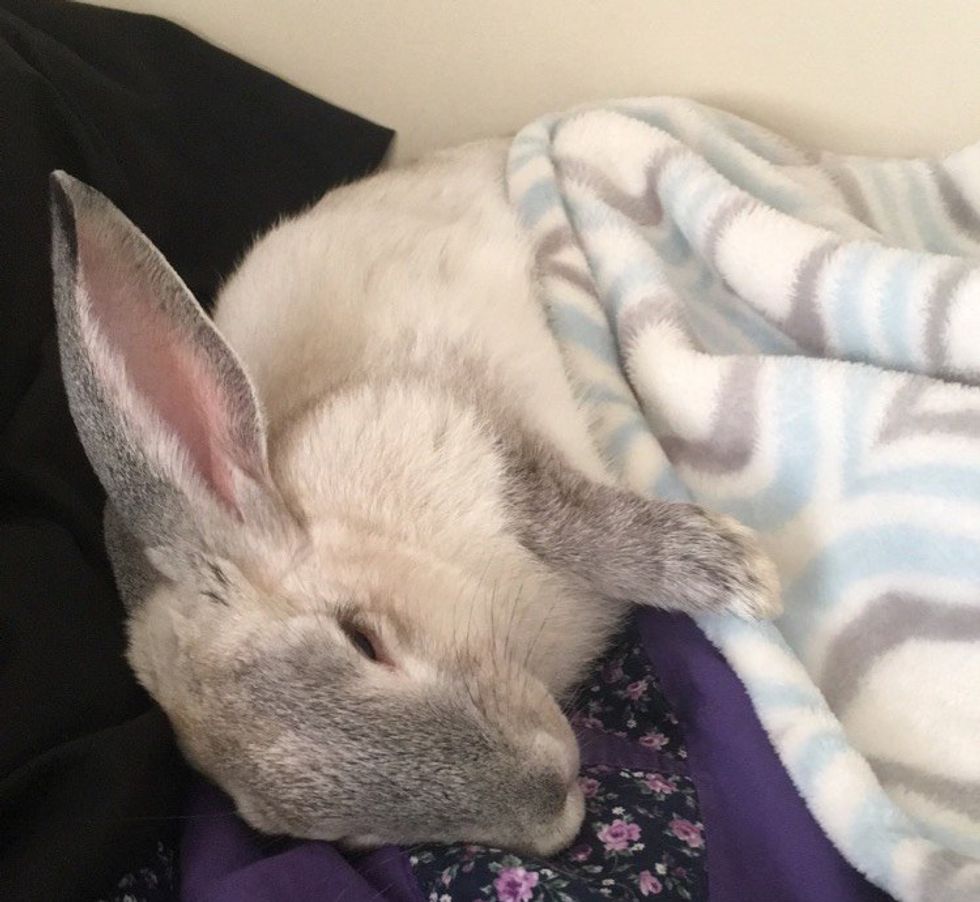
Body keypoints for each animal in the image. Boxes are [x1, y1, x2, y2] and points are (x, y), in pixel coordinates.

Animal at [49, 139, 780, 857]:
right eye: (346, 840)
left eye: (362, 637)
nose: (553, 806)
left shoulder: (488, 438)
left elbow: (575, 522)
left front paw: (739, 575)